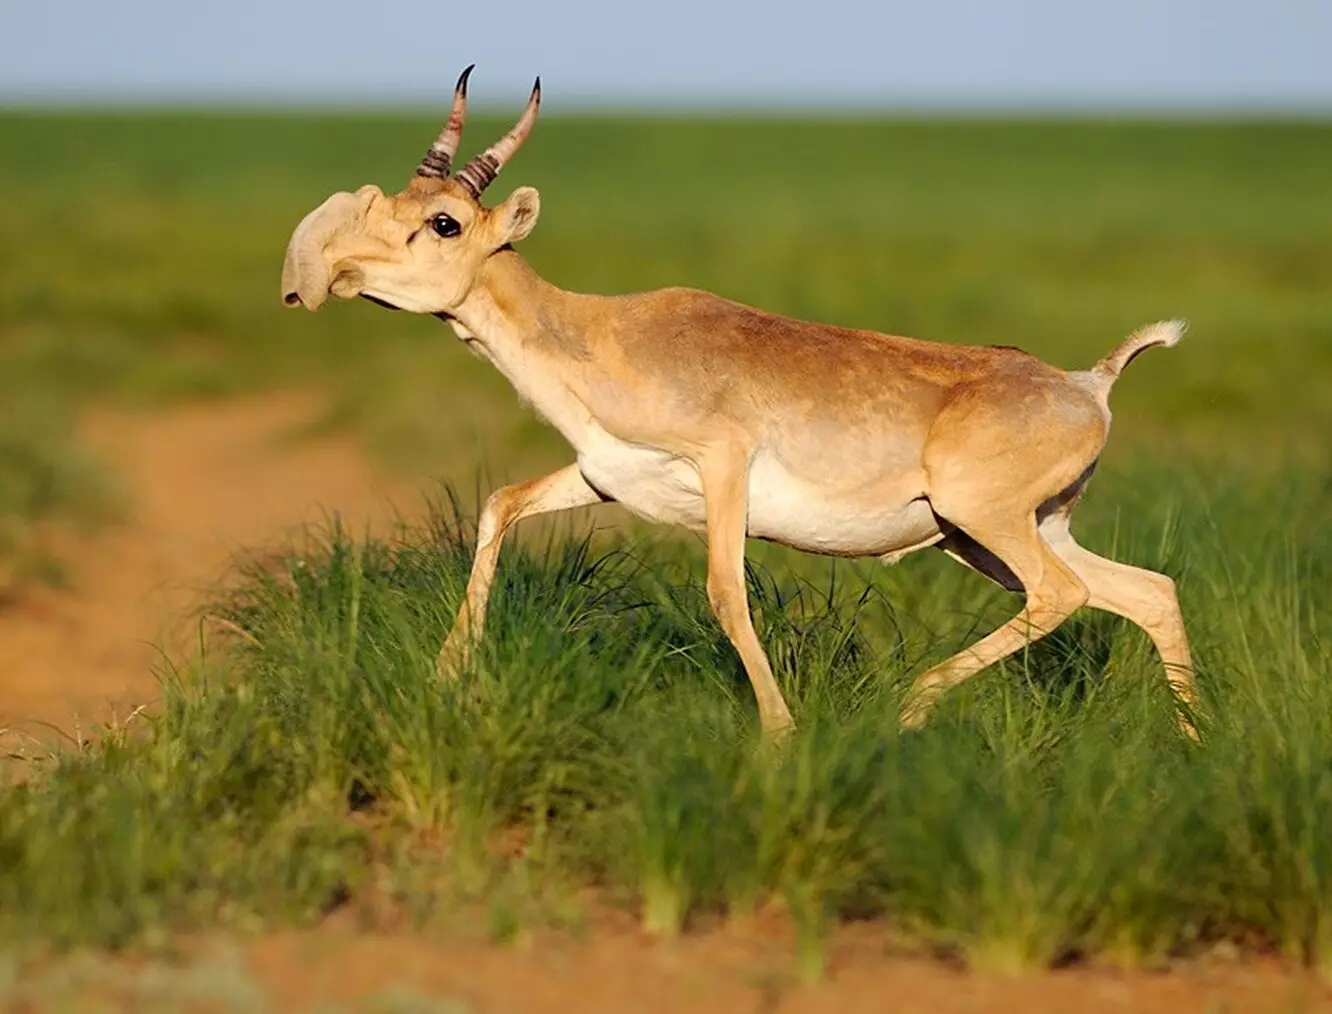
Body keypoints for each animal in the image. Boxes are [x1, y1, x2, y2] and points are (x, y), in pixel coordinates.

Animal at [281, 69, 1198, 735]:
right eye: (394, 201)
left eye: (443, 223)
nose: (329, 272)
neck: (600, 333)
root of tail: (1088, 384)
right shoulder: (604, 478)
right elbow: (500, 503)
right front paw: (447, 677)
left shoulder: (722, 466)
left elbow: (726, 592)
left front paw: (780, 737)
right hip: (1000, 535)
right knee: (1147, 591)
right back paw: (1191, 747)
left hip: (984, 523)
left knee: (1065, 596)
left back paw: (910, 706)